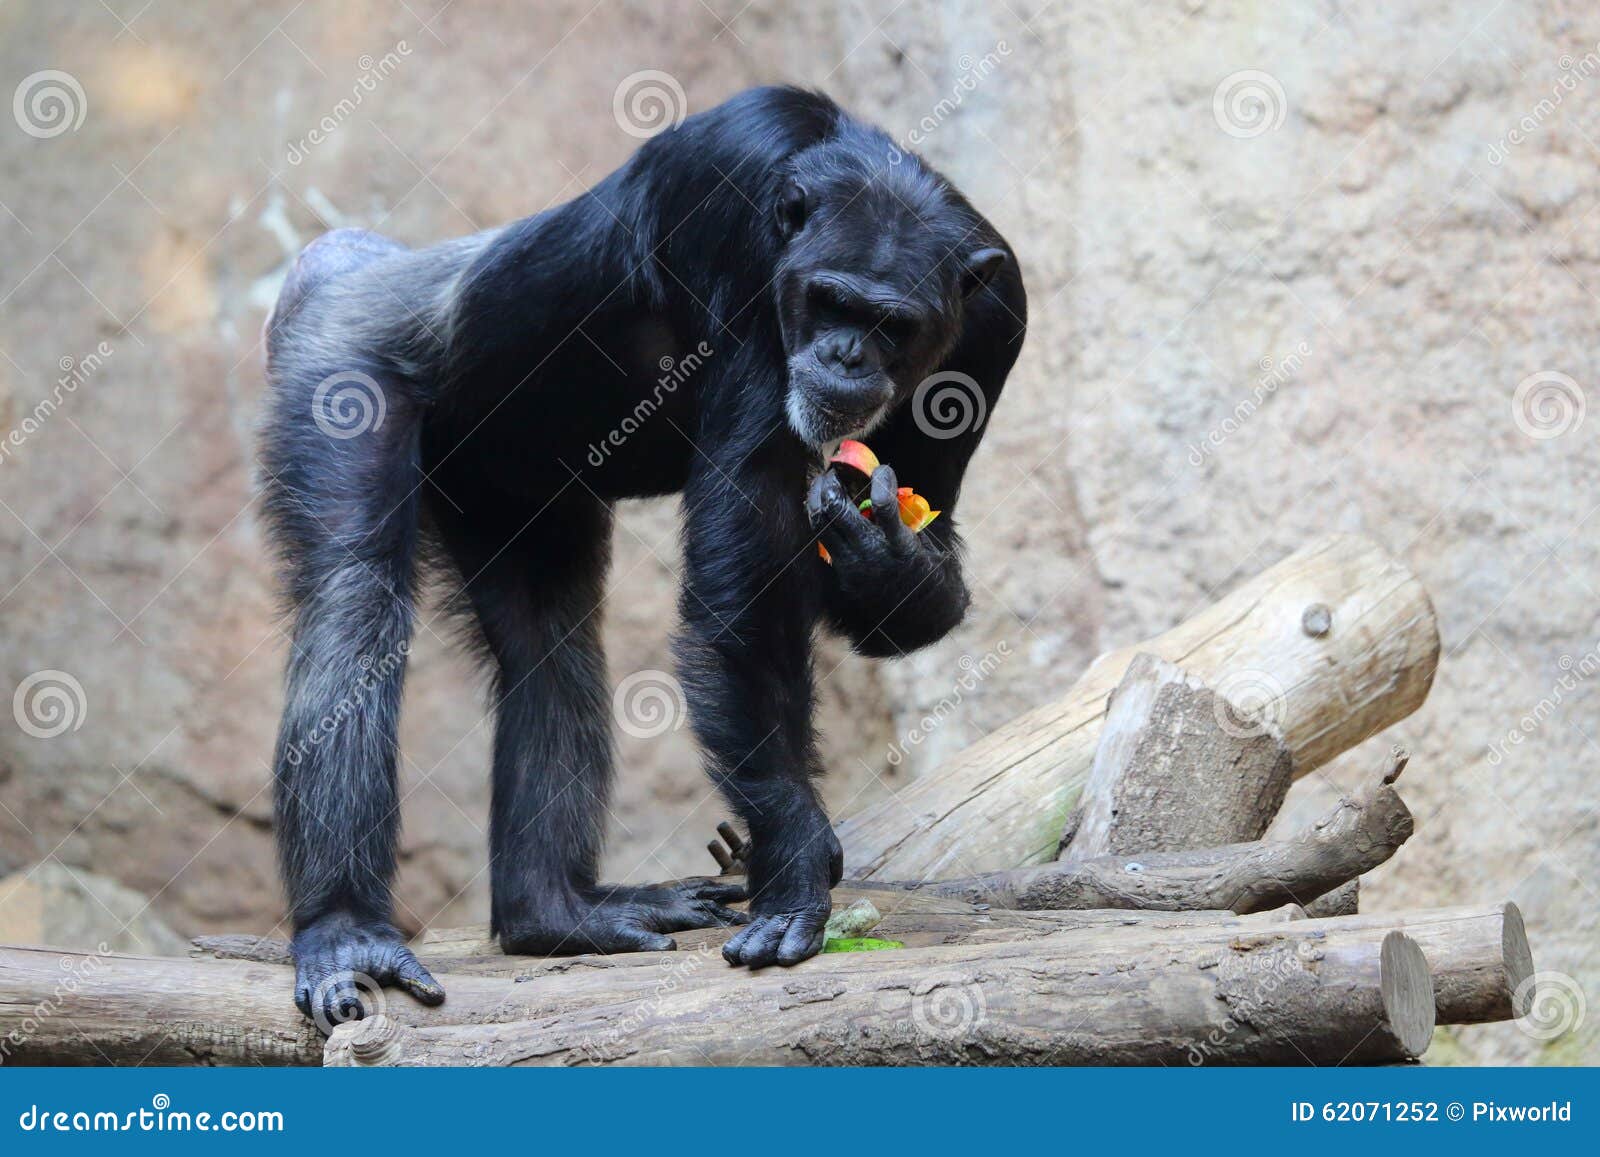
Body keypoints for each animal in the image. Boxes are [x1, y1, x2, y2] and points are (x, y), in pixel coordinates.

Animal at [258, 85, 1026, 1026]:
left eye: (890, 324)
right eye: (830, 301)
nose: (845, 354)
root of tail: (346, 263)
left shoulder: (997, 321)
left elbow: (921, 511)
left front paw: (889, 560)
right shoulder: (731, 219)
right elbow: (738, 597)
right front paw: (797, 855)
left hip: (501, 474)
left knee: (548, 645)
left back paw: (554, 913)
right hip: (340, 355)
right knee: (354, 597)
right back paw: (345, 932)